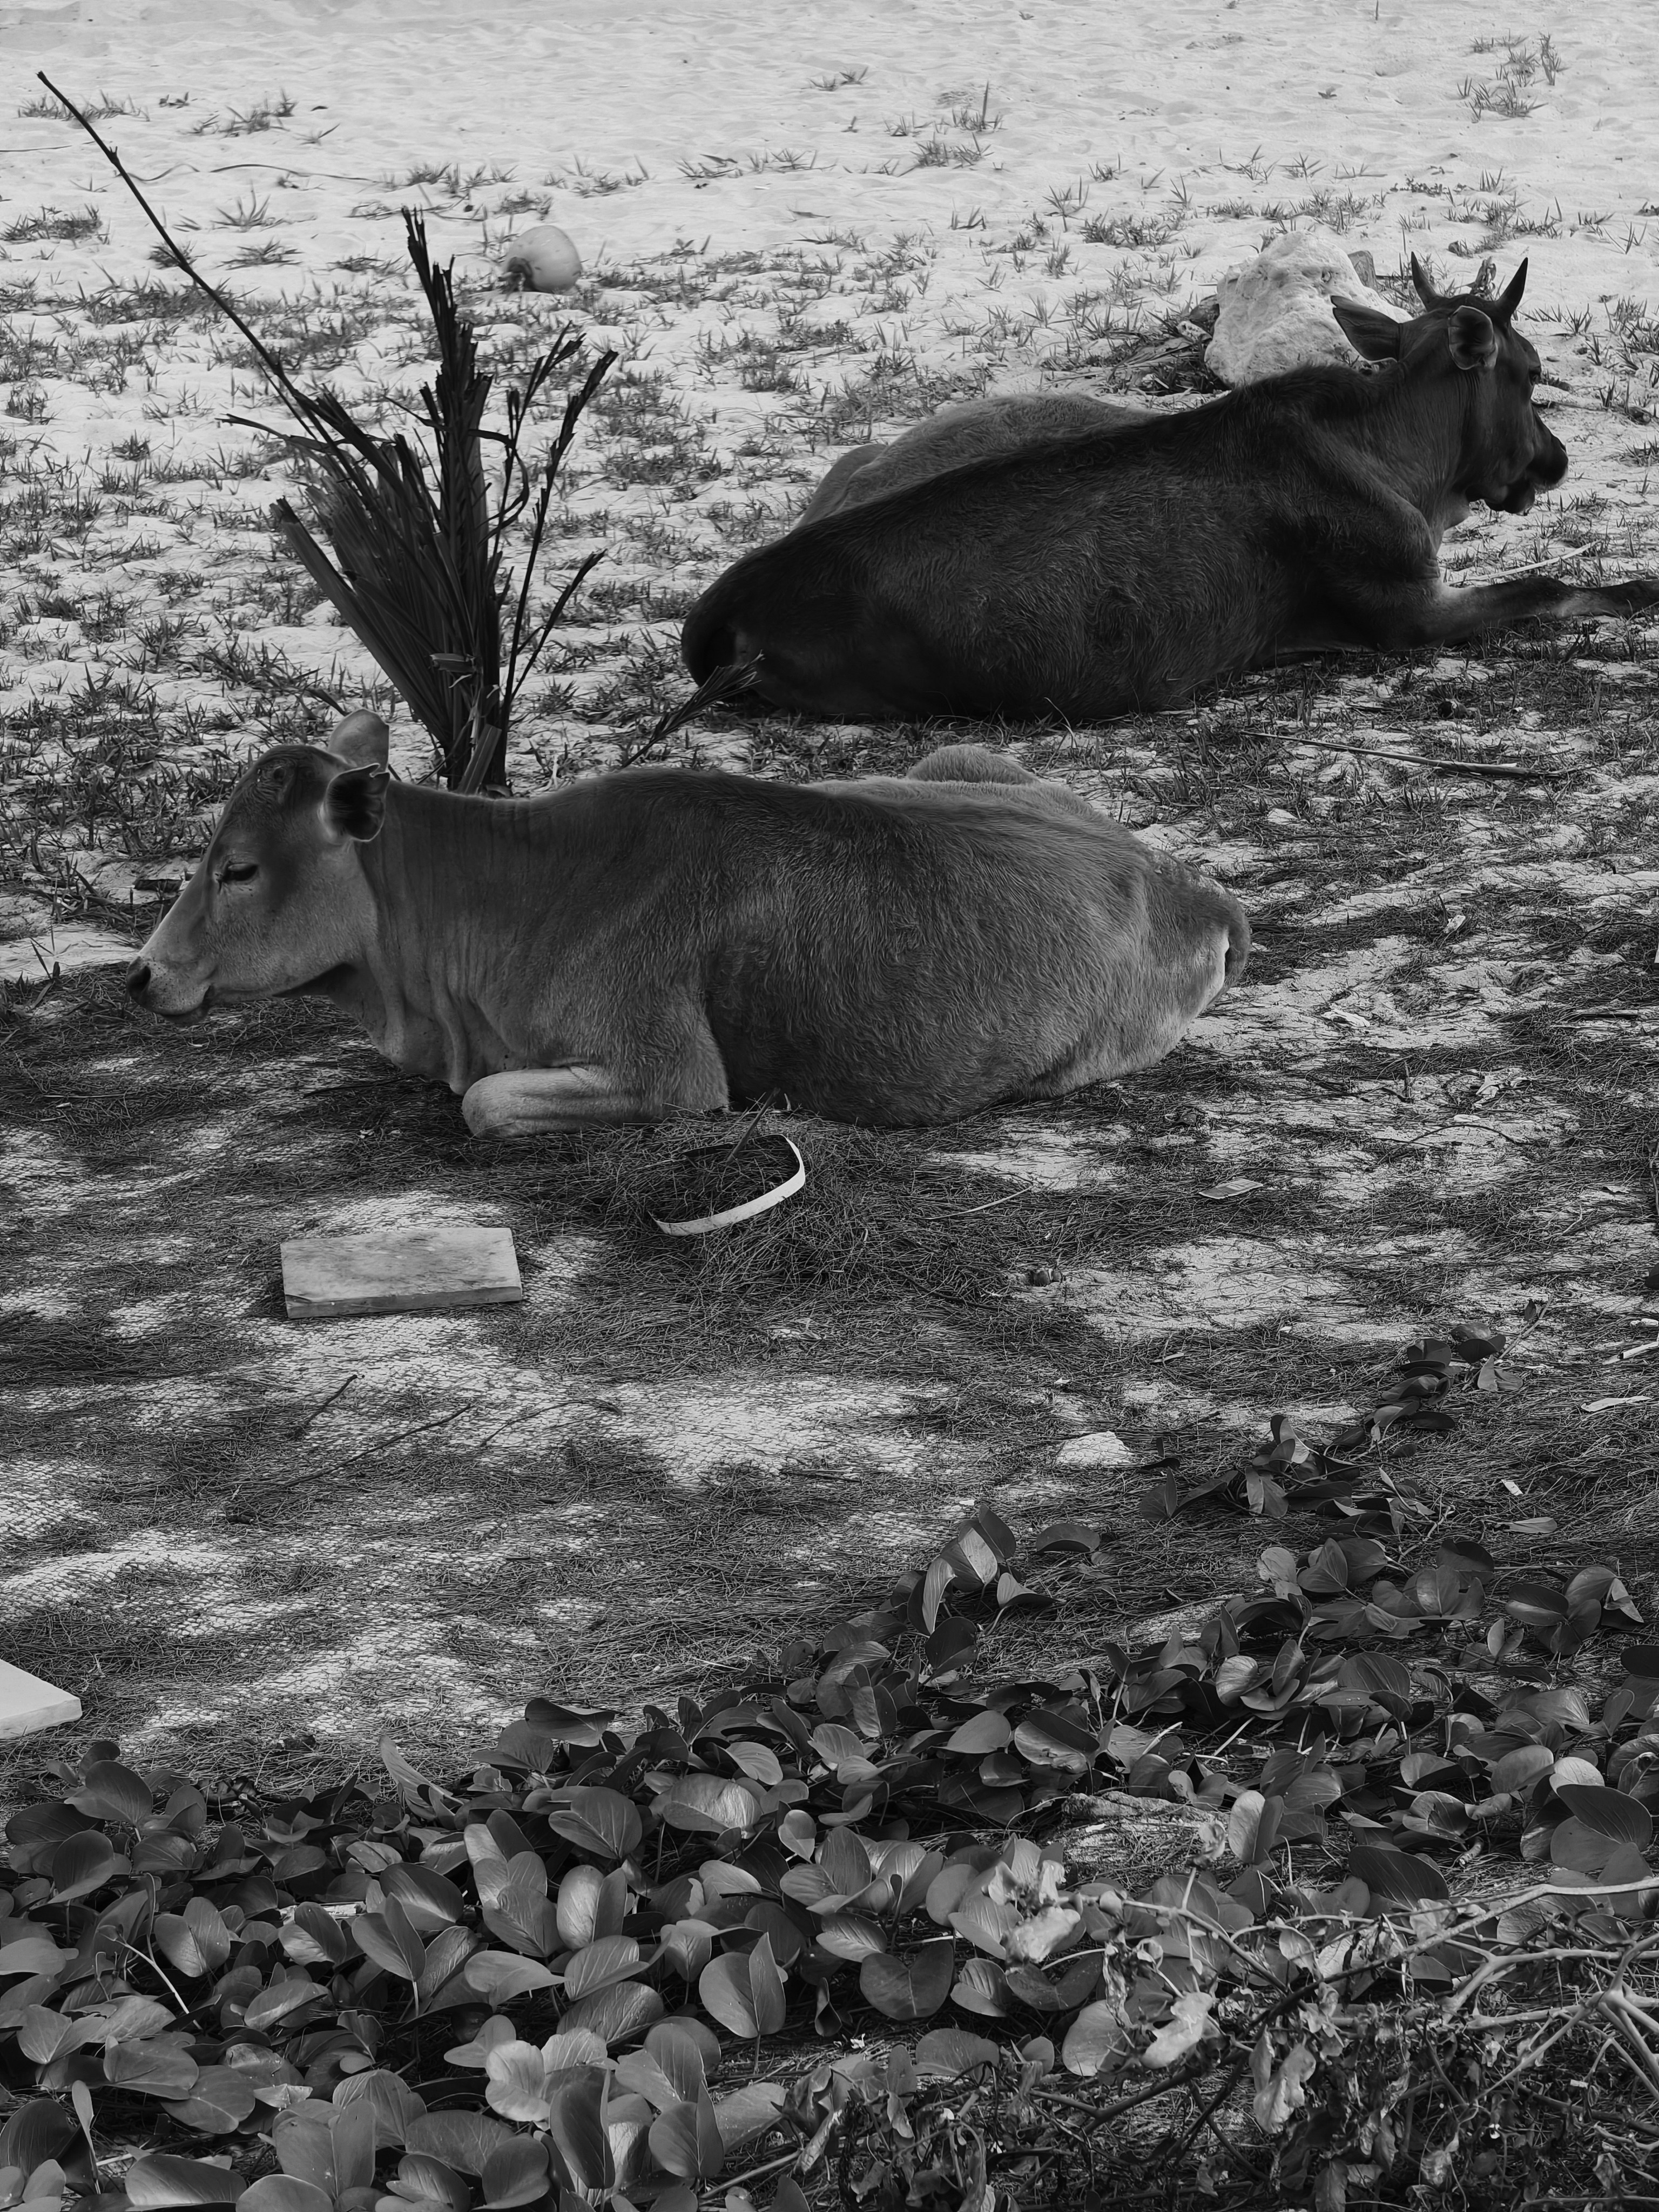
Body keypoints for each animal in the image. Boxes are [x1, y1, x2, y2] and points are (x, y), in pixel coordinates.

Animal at [680, 259, 1659, 724]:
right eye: (1528, 373)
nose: (1554, 460)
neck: (1412, 473)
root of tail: (727, 606)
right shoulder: (1397, 608)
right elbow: (1547, 585)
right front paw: (1642, 586)